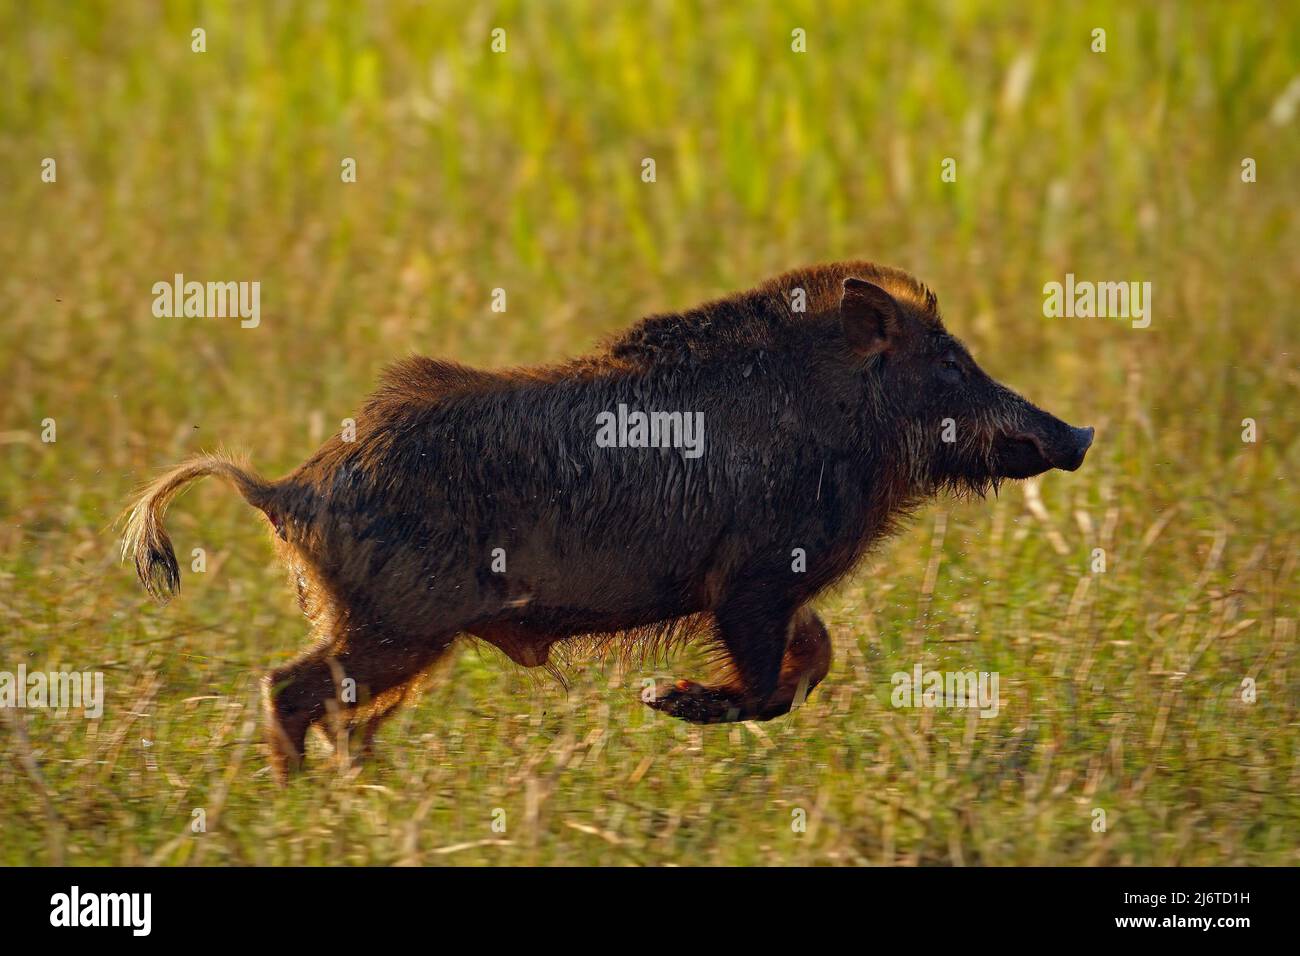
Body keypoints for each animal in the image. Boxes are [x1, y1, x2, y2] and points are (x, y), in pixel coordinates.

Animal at [121, 260, 1094, 779]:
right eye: (949, 364)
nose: (1079, 433)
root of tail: (286, 489)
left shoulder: (775, 589)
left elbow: (815, 658)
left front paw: (668, 699)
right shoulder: (748, 580)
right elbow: (771, 681)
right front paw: (661, 699)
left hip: (387, 633)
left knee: (335, 711)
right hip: (391, 626)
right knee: (289, 689)